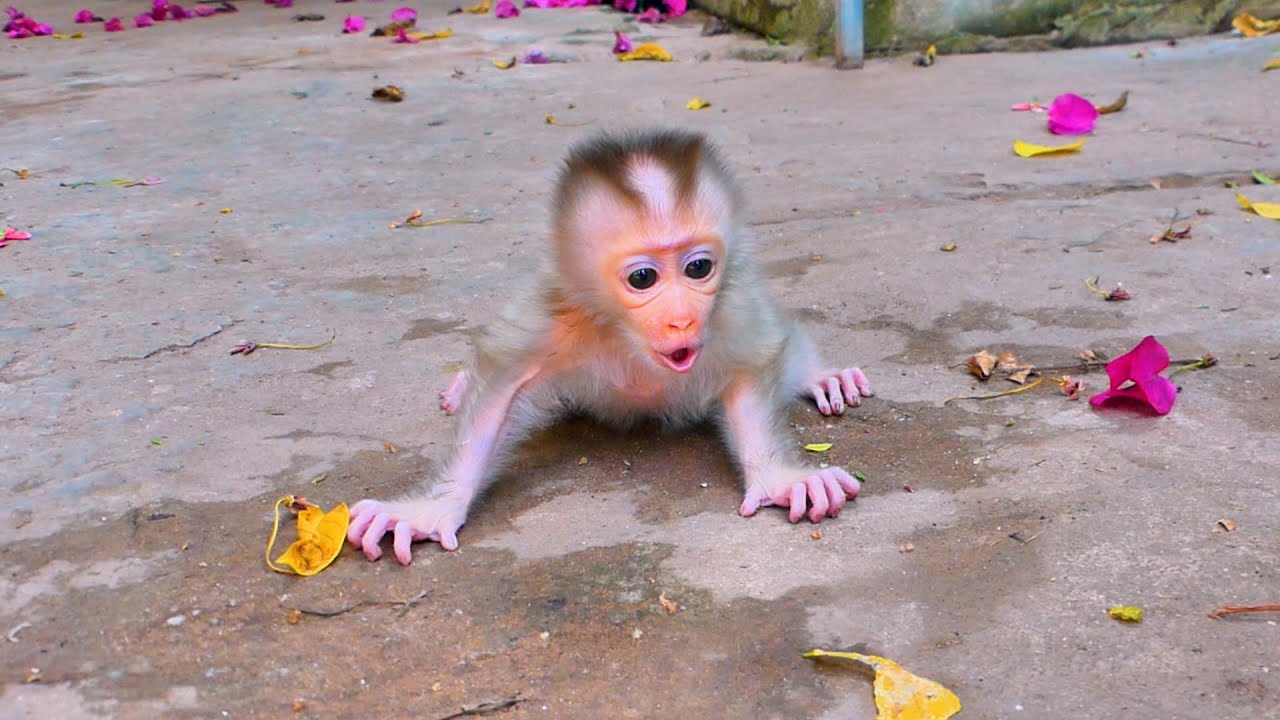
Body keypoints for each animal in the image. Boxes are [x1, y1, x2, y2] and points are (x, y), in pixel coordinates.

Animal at [347, 129, 874, 565]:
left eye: (698, 268)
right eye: (643, 278)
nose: (682, 319)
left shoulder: (732, 309)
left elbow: (753, 363)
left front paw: (781, 478)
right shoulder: (553, 316)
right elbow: (499, 394)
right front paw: (433, 508)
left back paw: (822, 377)